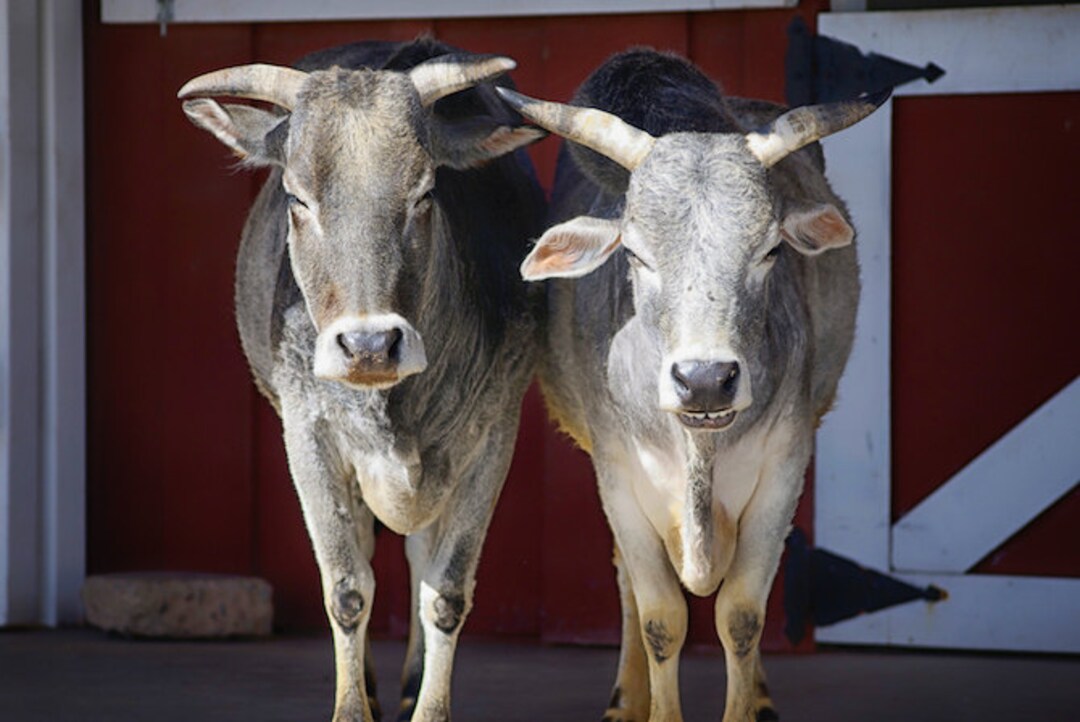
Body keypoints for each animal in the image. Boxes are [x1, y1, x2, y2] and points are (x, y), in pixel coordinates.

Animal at [178, 39, 546, 722]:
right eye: (298, 199)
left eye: (425, 193)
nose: (371, 343)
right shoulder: (307, 432)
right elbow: (348, 588)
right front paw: (353, 706)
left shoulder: (493, 434)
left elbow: (446, 591)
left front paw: (429, 705)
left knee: (420, 557)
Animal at [498, 49, 886, 722]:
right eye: (636, 254)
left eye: (770, 250)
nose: (705, 380)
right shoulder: (619, 477)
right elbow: (661, 619)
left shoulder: (784, 470)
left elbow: (741, 616)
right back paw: (626, 699)